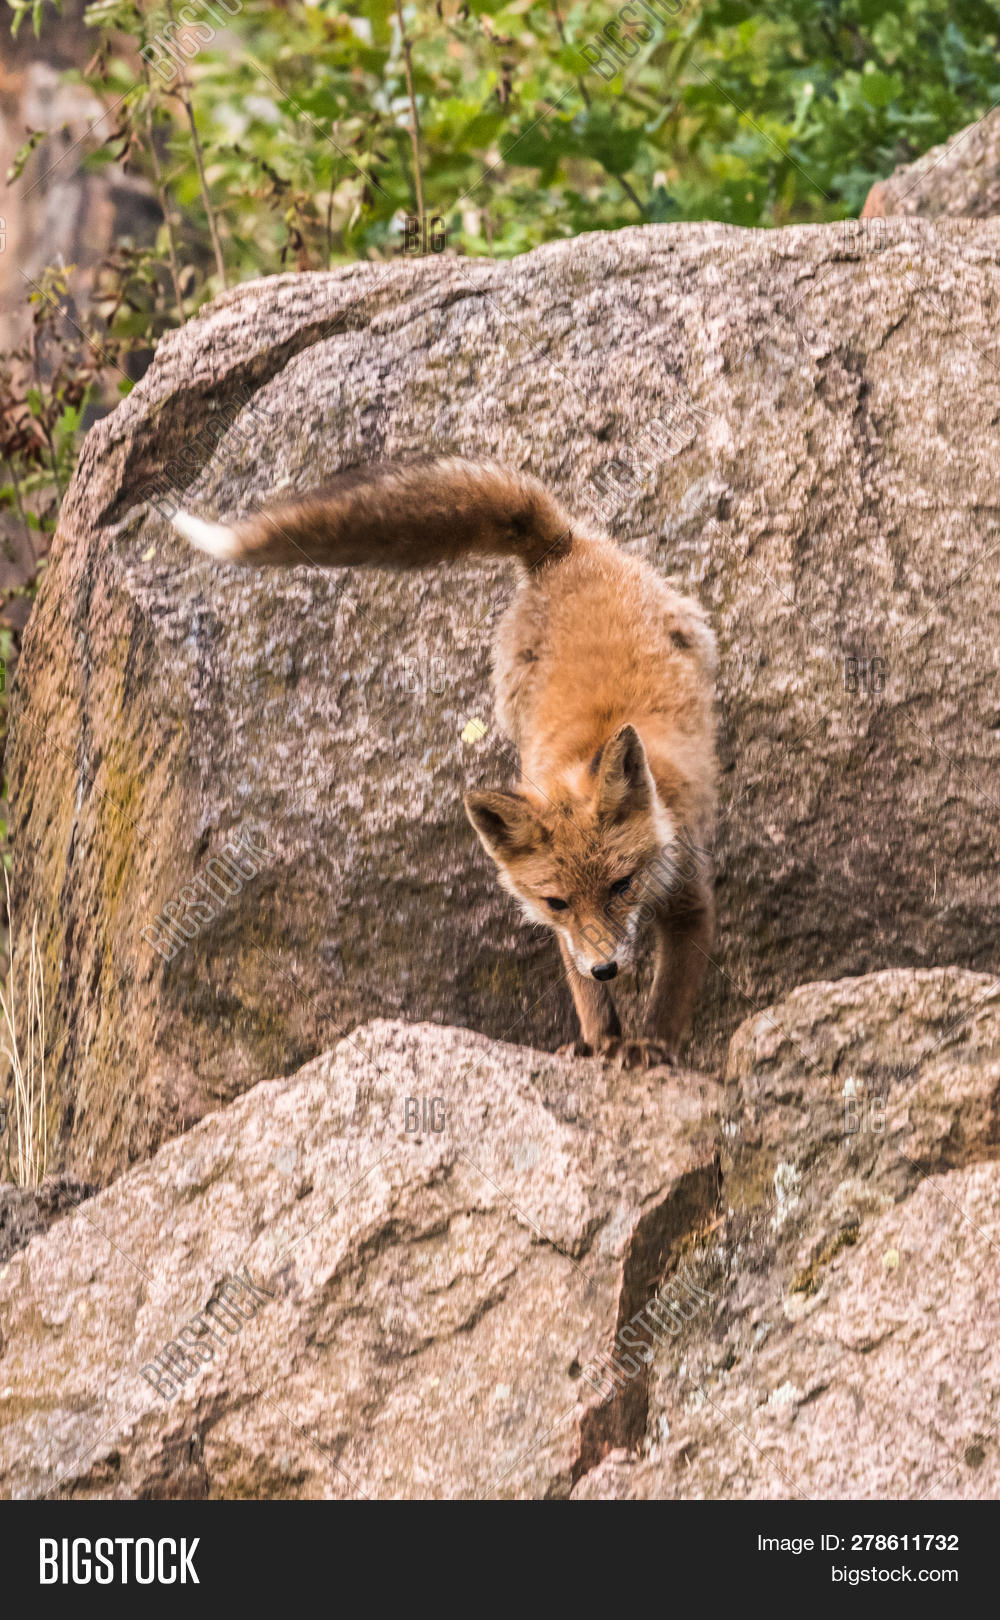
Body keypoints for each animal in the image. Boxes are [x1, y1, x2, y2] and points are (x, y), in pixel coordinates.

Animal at [172, 456, 718, 1068]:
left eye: (622, 886)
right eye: (557, 900)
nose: (606, 966)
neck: (588, 749)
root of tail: (562, 553)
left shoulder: (689, 889)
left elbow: (670, 990)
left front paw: (652, 1046)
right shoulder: (565, 927)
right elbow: (585, 990)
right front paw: (601, 1041)